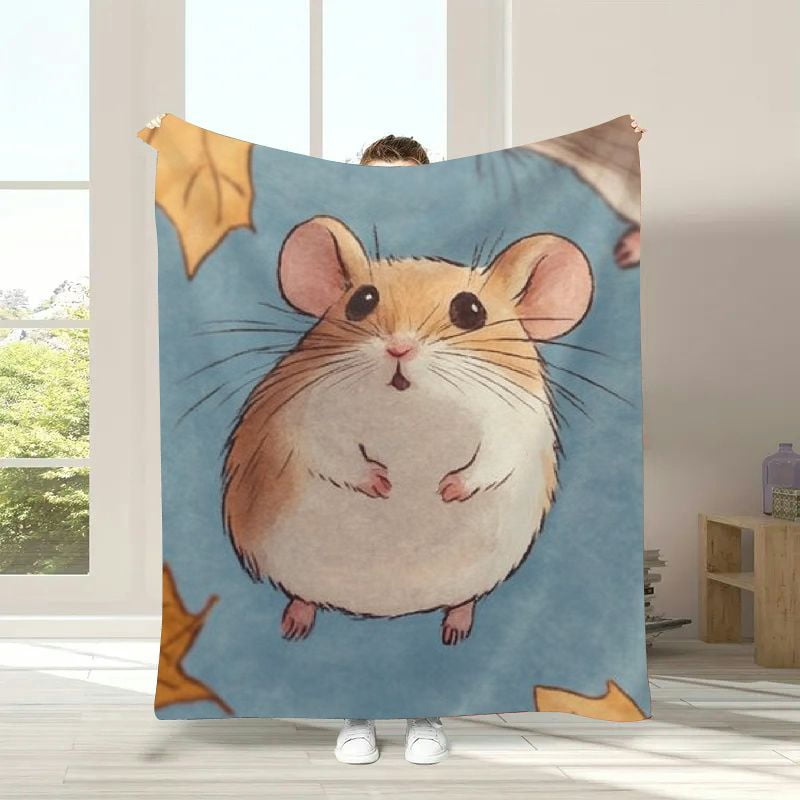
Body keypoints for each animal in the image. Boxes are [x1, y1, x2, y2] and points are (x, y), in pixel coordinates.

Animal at [222, 215, 593, 645]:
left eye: (471, 310)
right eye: (361, 301)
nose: (399, 348)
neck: (413, 413)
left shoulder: (516, 426)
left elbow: (492, 460)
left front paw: (447, 489)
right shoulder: (307, 417)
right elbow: (337, 455)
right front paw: (382, 484)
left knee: (465, 599)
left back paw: (456, 629)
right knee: (303, 597)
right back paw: (294, 626)